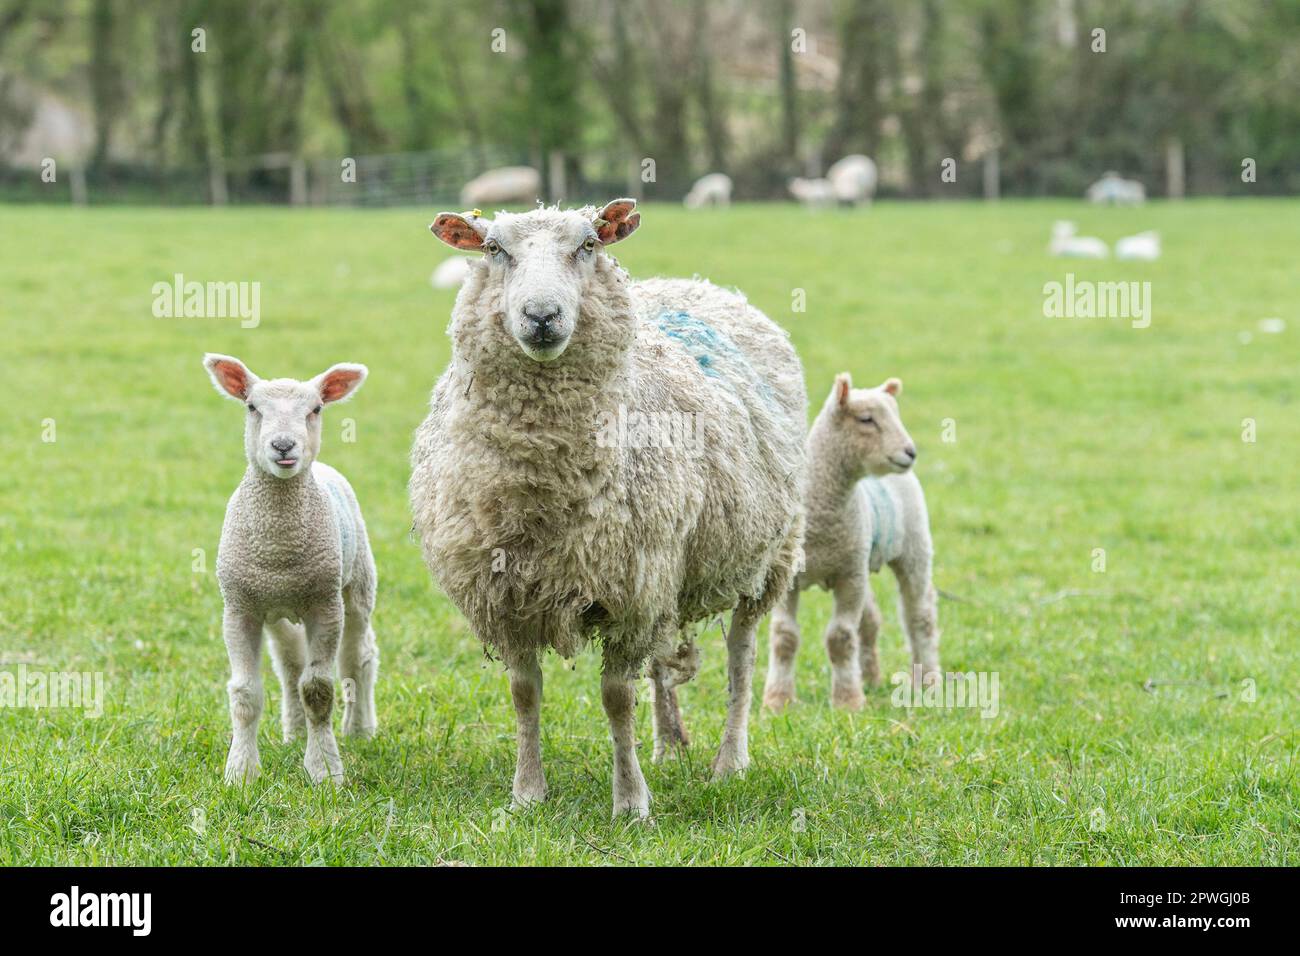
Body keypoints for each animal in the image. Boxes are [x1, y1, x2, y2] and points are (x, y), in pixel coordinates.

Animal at [203, 353, 378, 786]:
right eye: (252, 407)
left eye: (315, 409)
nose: (283, 445)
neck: (278, 547)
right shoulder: (240, 607)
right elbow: (246, 693)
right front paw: (241, 772)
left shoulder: (324, 605)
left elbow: (318, 689)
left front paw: (325, 769)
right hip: (280, 610)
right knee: (290, 666)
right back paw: (295, 731)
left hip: (356, 585)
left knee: (358, 658)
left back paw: (359, 729)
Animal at [412, 199, 806, 817]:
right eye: (494, 249)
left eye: (588, 244)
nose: (542, 315)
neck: (541, 487)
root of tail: (693, 283)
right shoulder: (506, 596)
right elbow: (524, 693)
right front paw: (527, 793)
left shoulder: (630, 593)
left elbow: (617, 697)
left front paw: (631, 802)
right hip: (671, 570)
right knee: (665, 662)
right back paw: (668, 746)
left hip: (763, 556)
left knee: (741, 656)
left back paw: (729, 761)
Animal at [762, 373, 940, 712]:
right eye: (866, 419)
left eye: (896, 414)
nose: (910, 452)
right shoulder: (796, 579)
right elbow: (784, 637)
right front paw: (777, 700)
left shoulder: (848, 577)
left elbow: (840, 637)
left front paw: (847, 701)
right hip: (861, 561)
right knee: (870, 622)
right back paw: (870, 678)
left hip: (914, 550)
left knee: (919, 616)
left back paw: (928, 681)